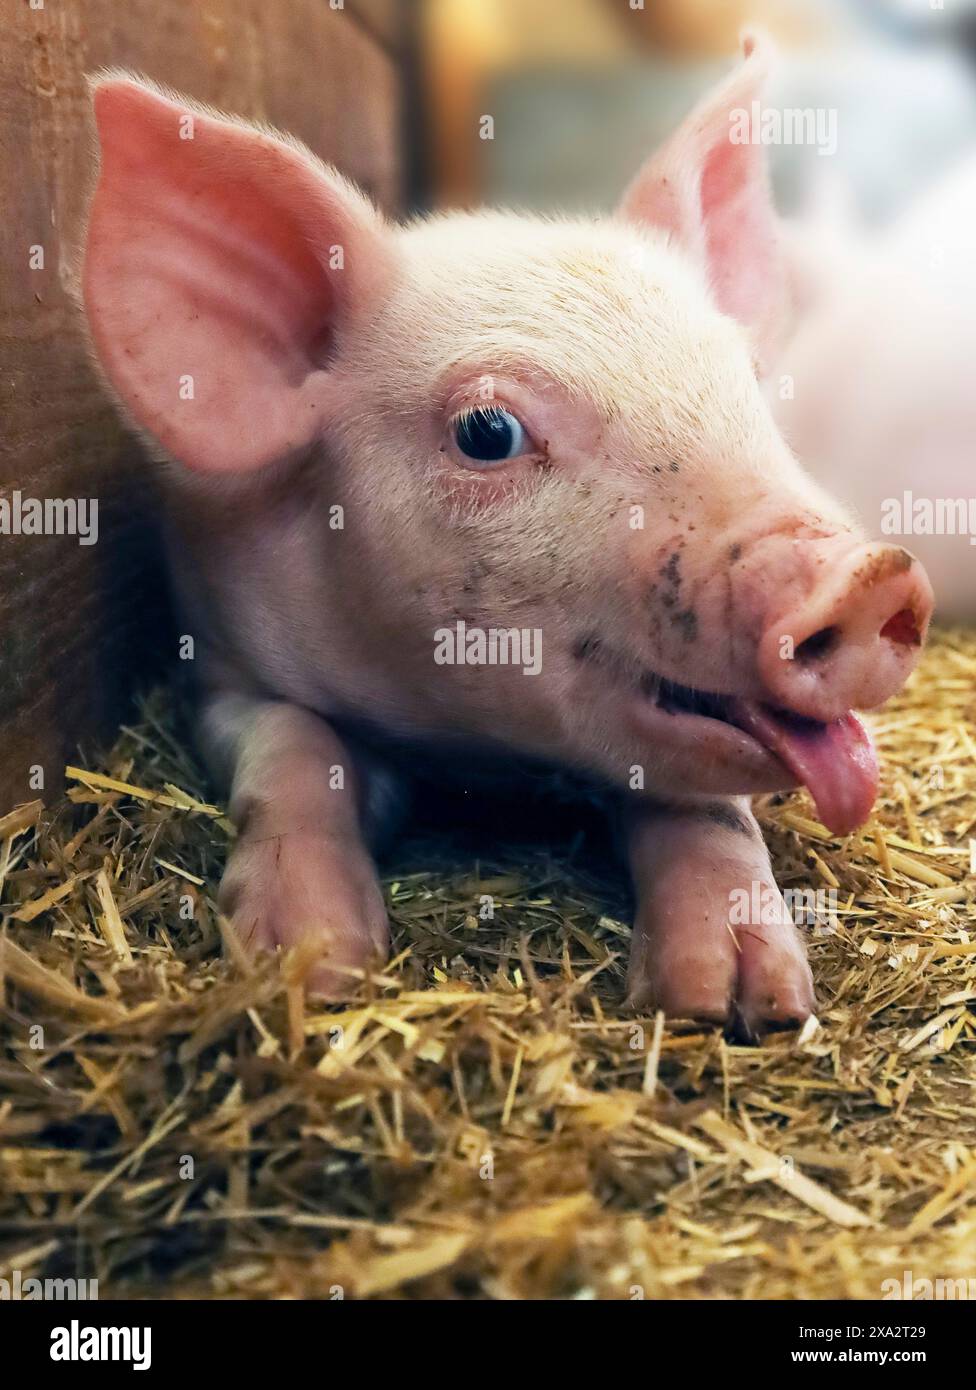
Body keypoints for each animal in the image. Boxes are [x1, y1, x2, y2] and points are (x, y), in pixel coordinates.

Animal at [82, 35, 933, 1035]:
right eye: (487, 432)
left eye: (746, 387)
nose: (869, 575)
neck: (480, 753)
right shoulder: (217, 664)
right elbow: (293, 751)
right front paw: (314, 964)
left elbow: (704, 802)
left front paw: (734, 1002)